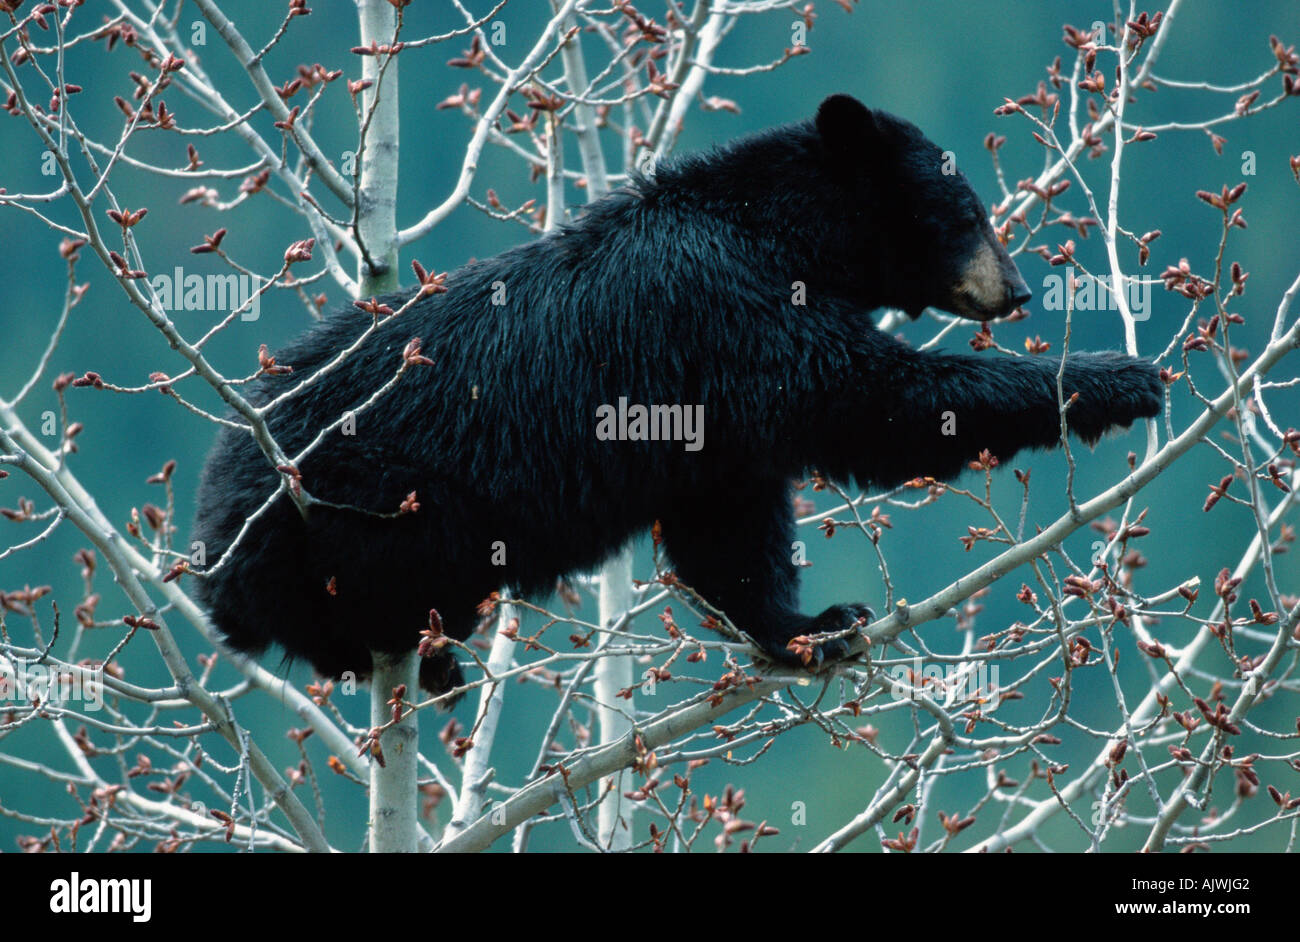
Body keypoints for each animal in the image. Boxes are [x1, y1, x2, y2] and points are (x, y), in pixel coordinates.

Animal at [192, 94, 1163, 699]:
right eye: (966, 212)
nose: (1020, 289)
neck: (774, 231)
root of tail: (209, 542)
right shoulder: (728, 313)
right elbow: (872, 399)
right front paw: (1115, 379)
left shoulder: (711, 412)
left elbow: (729, 524)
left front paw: (817, 625)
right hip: (369, 499)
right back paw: (418, 654)